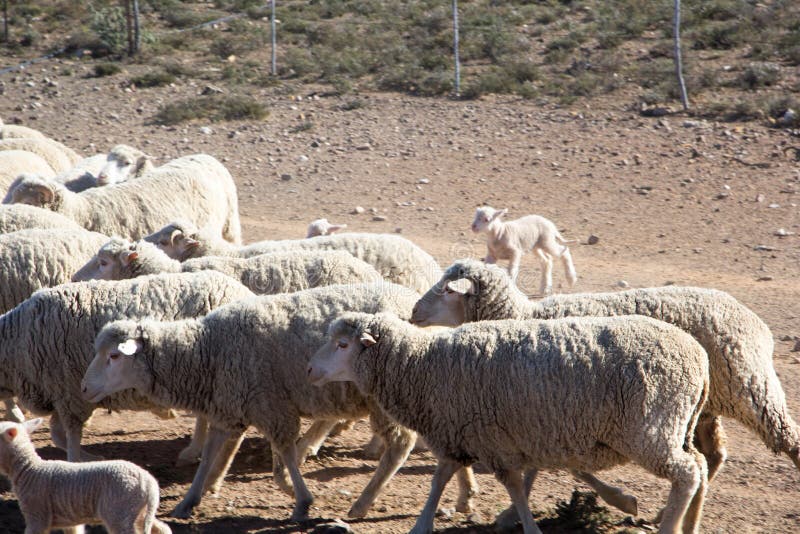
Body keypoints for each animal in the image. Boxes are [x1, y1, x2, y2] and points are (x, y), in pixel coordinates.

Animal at [0, 270, 255, 462]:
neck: (15, 343)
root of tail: (244, 292)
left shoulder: (69, 392)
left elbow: (69, 437)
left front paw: (80, 460)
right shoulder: (62, 393)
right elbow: (58, 435)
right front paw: (90, 458)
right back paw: (194, 450)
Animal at [0, 418, 171, 534]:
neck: (28, 469)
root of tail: (149, 482)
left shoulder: (37, 514)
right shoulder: (69, 519)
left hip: (119, 510)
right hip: (138, 509)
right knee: (162, 528)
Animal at [81, 282, 478, 521]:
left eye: (114, 356)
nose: (84, 389)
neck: (206, 350)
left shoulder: (271, 405)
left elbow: (284, 453)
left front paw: (299, 497)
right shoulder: (229, 407)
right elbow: (209, 458)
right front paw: (187, 501)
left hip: (387, 396)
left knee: (398, 446)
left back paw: (362, 503)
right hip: (429, 392)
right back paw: (465, 494)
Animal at [308, 311, 710, 534]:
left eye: (343, 345)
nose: (310, 370)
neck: (420, 363)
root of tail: (699, 356)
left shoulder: (491, 439)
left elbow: (514, 486)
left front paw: (529, 526)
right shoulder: (464, 433)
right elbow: (441, 480)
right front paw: (422, 524)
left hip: (651, 428)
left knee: (687, 473)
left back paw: (671, 527)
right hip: (675, 427)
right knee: (701, 465)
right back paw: (690, 523)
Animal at [411, 260, 797, 494]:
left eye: (448, 290)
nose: (414, 312)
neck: (522, 313)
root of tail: (753, 320)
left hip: (748, 386)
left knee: (787, 438)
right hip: (705, 404)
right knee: (713, 454)